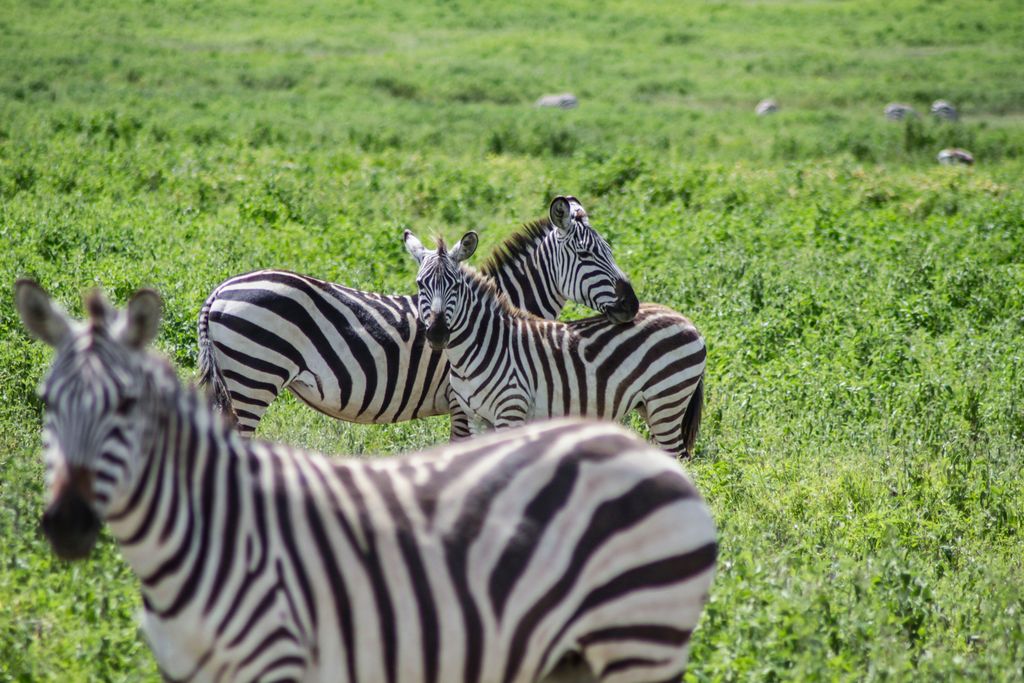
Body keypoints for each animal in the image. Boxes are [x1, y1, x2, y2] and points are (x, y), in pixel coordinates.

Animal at [198, 196, 639, 439]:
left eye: (610, 250)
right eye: (587, 254)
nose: (632, 305)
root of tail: (218, 291)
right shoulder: (463, 403)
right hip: (254, 378)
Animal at [404, 232, 707, 459]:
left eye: (454, 285)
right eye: (420, 285)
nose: (437, 334)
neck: (477, 349)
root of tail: (686, 320)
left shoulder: (510, 411)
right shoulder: (475, 418)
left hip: (667, 399)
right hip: (650, 405)